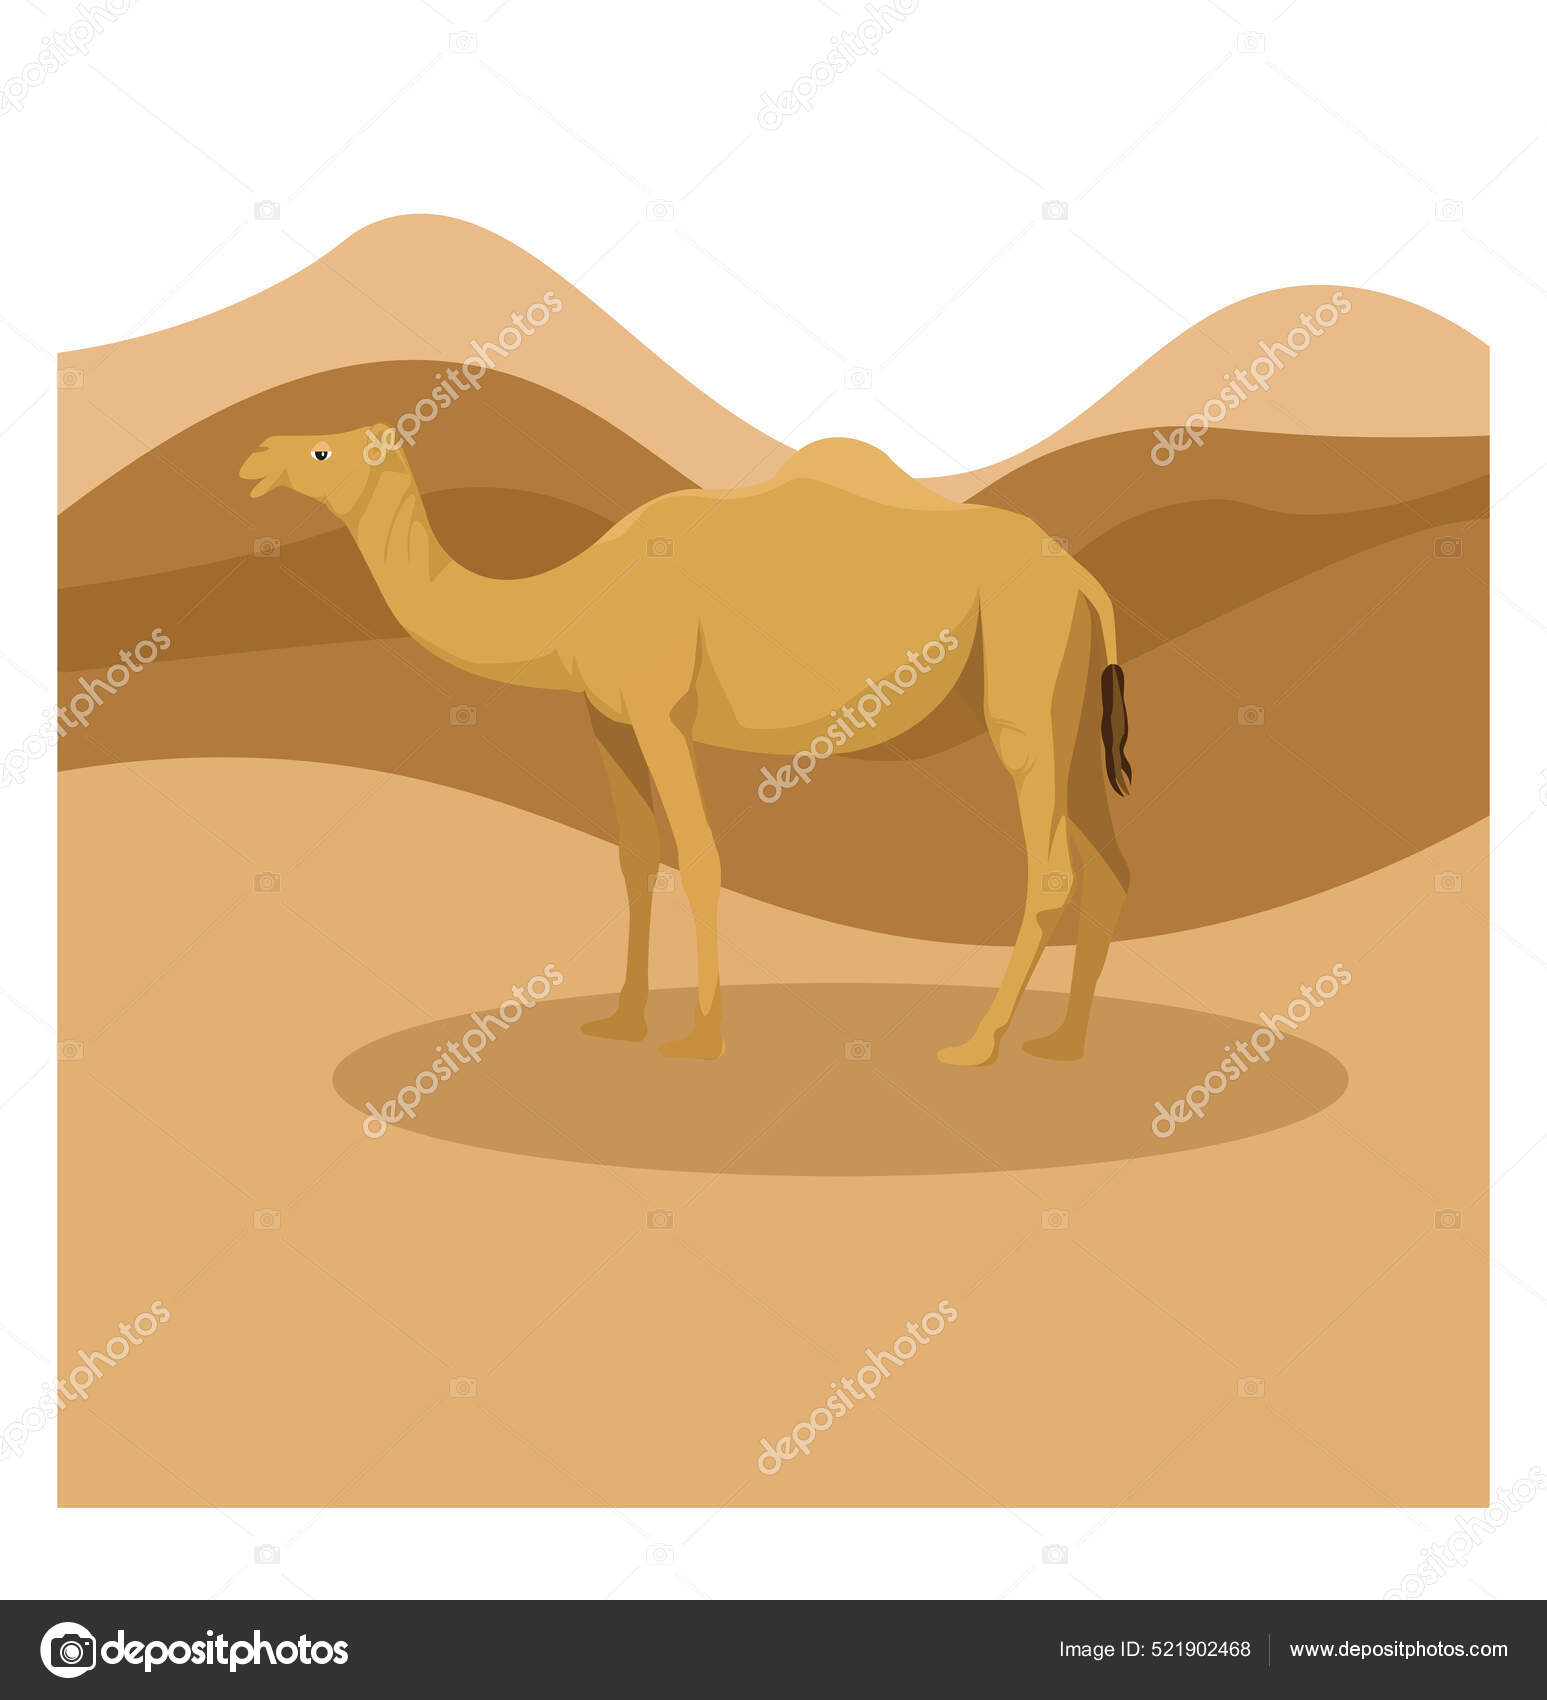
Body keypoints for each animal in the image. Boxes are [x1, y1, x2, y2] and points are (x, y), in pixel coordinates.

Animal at [239, 427, 1131, 1066]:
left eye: (321, 450)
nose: (255, 456)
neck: (575, 601)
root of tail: (1085, 582)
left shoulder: (659, 707)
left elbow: (699, 859)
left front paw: (701, 1036)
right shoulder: (607, 720)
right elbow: (635, 859)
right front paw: (622, 1020)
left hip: (1024, 685)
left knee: (1051, 863)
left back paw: (979, 1042)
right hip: (1070, 705)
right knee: (1109, 865)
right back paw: (1065, 1042)